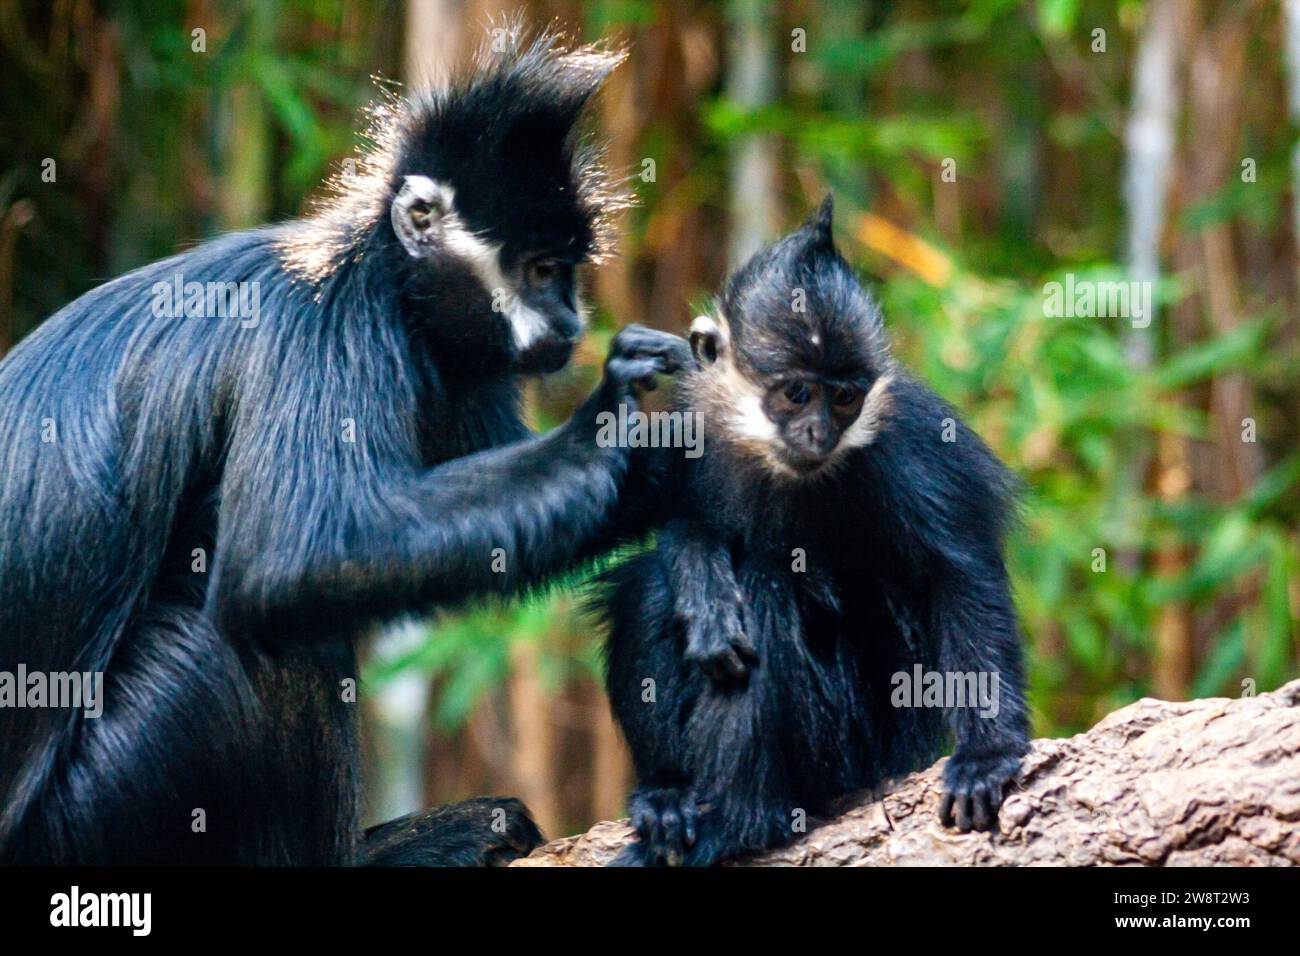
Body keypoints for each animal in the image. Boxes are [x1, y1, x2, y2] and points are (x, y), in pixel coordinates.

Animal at [0, 30, 691, 865]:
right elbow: (291, 557)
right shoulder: (322, 322)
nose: (568, 321)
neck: (385, 276)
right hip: (85, 822)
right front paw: (628, 439)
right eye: (541, 272)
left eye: (566, 274)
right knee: (246, 624)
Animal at [599, 196, 1029, 866]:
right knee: (649, 586)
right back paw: (668, 797)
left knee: (766, 581)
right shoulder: (692, 423)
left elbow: (958, 574)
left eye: (845, 398)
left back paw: (744, 821)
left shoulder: (906, 447)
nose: (818, 432)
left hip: (858, 735)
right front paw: (701, 576)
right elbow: (687, 529)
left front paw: (988, 755)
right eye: (798, 393)